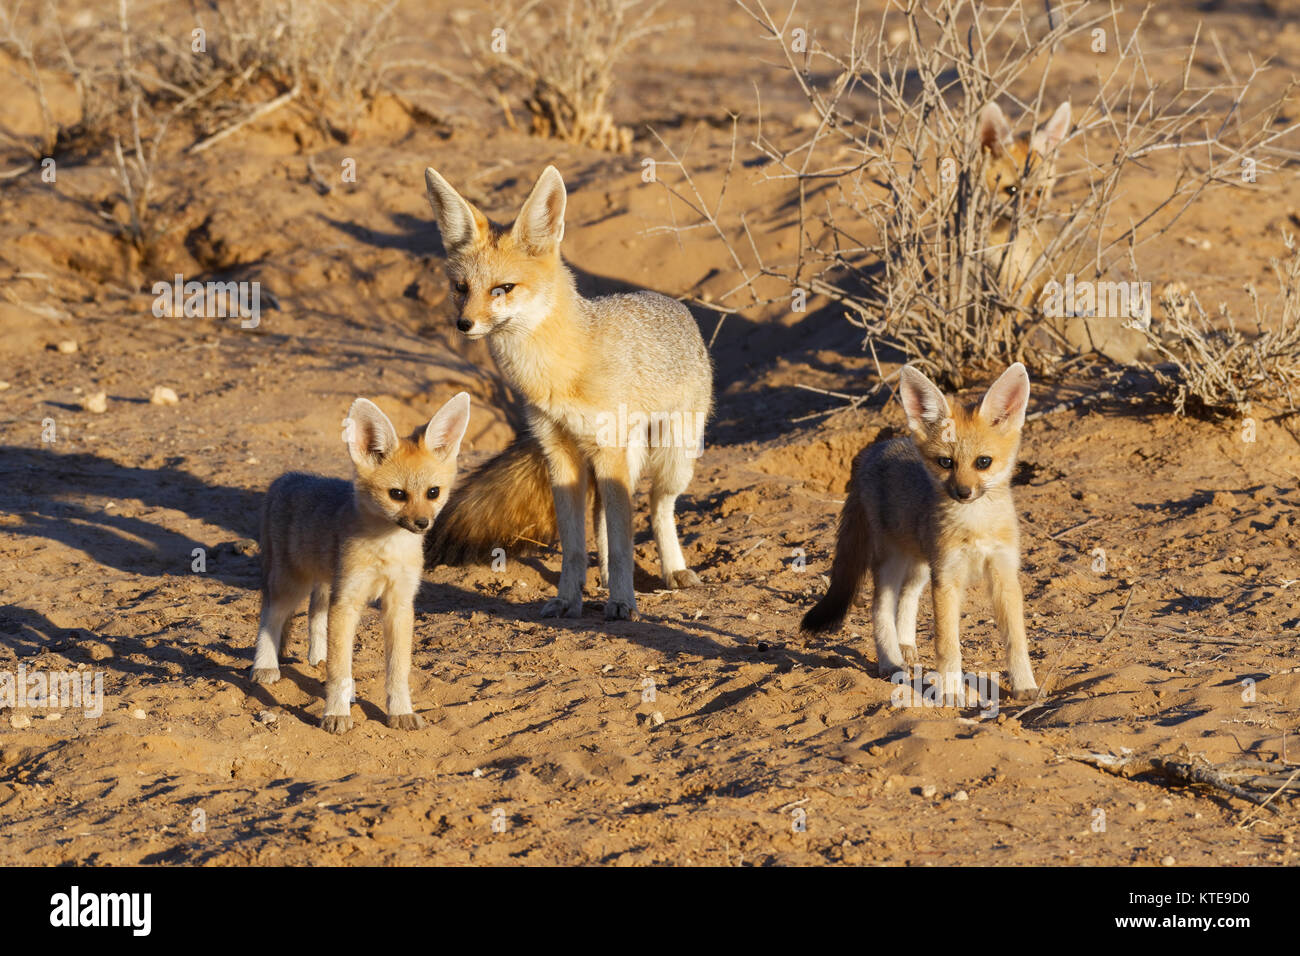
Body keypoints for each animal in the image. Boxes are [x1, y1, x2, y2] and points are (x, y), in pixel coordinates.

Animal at [249, 391, 471, 734]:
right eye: (397, 494)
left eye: (433, 492)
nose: (422, 523)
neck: (387, 550)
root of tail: (286, 478)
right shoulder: (348, 601)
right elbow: (340, 671)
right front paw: (336, 713)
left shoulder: (399, 603)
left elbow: (398, 670)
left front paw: (400, 712)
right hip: (290, 584)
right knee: (270, 617)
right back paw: (265, 666)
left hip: (325, 582)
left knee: (315, 613)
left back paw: (317, 657)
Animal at [421, 164, 713, 621]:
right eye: (461, 288)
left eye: (502, 289)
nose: (463, 325)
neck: (557, 374)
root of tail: (674, 302)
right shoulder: (559, 452)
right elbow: (576, 546)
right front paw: (568, 598)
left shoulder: (607, 449)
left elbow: (625, 539)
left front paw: (624, 603)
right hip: (619, 460)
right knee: (602, 517)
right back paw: (608, 578)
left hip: (671, 458)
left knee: (658, 507)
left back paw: (672, 571)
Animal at [800, 363, 1037, 701]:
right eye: (946, 462)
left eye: (983, 462)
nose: (963, 492)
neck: (975, 525)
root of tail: (876, 450)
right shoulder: (947, 577)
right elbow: (947, 644)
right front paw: (950, 691)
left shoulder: (1003, 573)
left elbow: (1017, 640)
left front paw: (1024, 684)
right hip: (894, 561)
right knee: (880, 607)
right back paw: (890, 660)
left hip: (921, 564)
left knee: (907, 596)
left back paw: (905, 644)